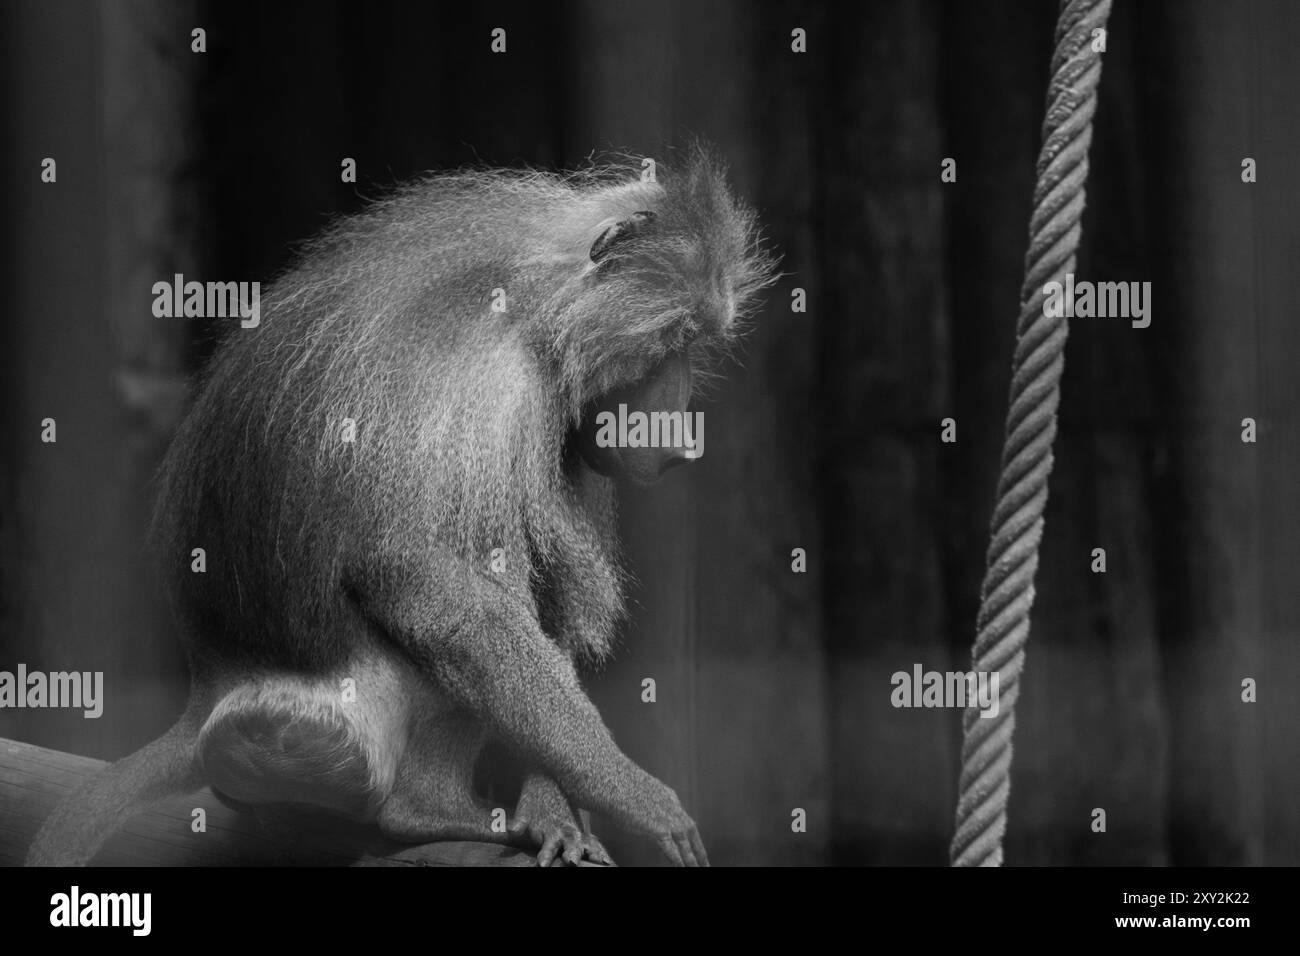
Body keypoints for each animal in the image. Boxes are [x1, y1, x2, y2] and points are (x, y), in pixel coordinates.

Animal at [24, 147, 775, 868]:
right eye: (675, 340)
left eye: (698, 345)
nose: (679, 444)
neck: (534, 303)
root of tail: (210, 683)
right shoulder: (490, 385)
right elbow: (436, 588)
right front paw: (630, 795)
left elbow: (555, 611)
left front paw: (560, 810)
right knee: (446, 612)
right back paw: (425, 811)